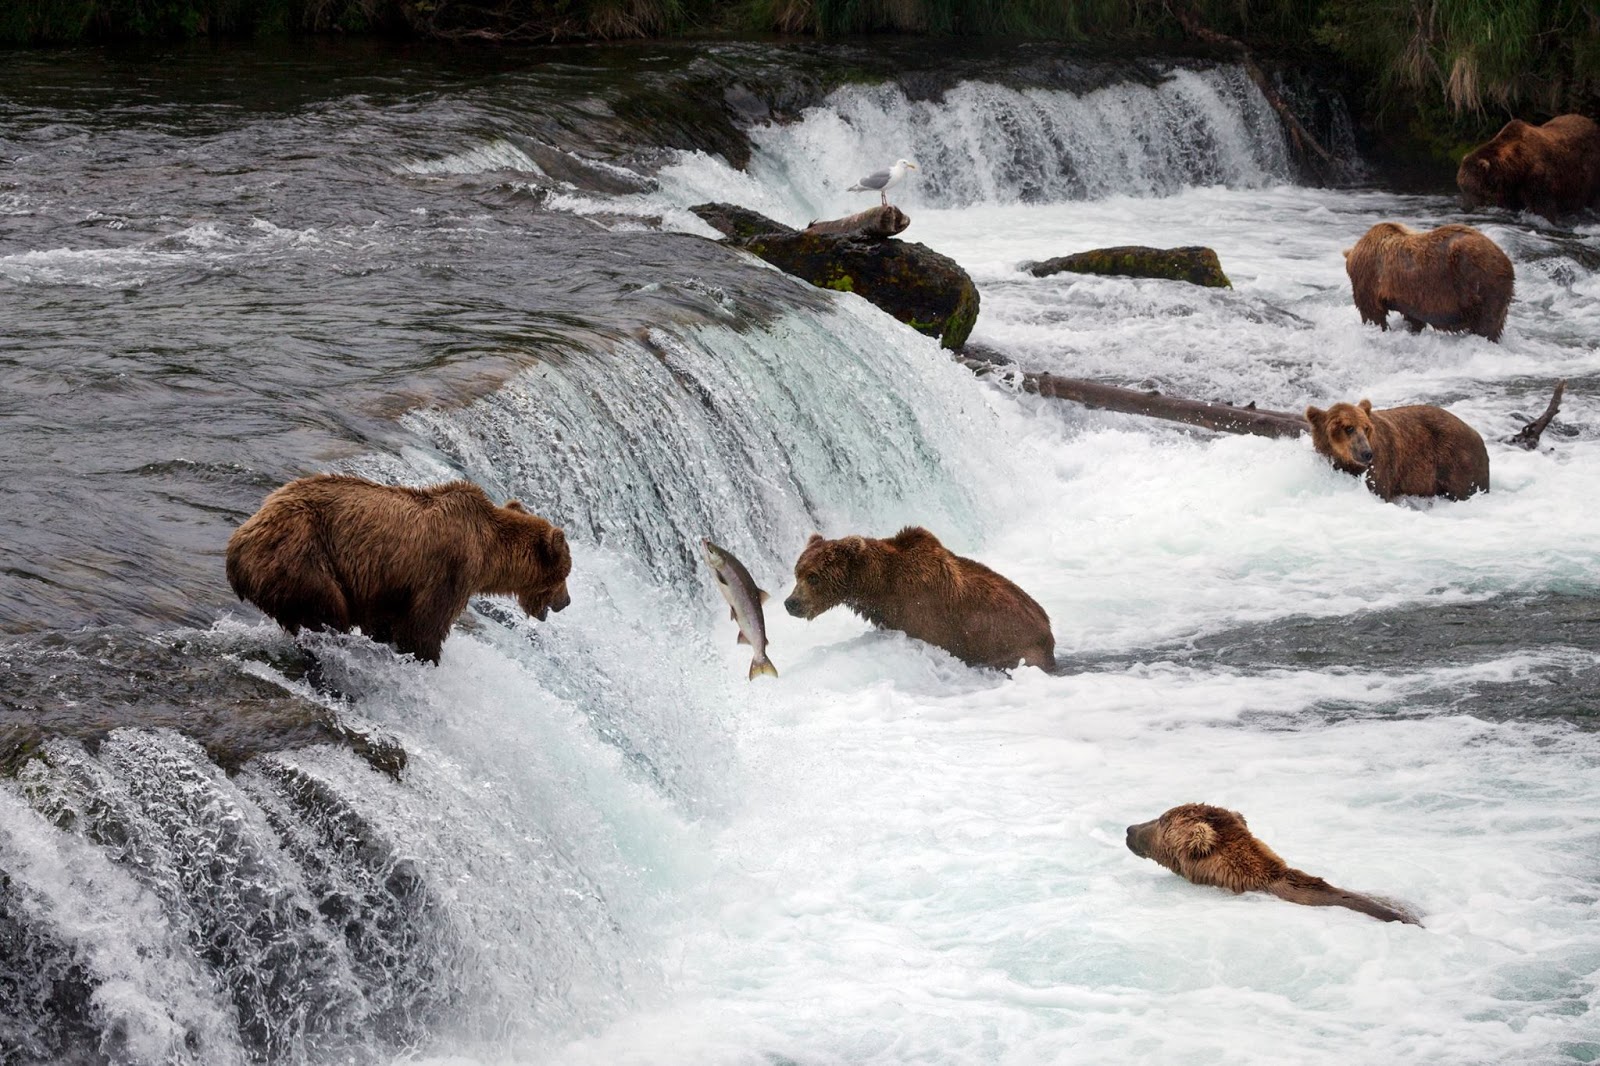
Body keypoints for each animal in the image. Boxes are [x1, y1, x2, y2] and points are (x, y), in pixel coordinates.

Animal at [226, 474, 571, 664]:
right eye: (565, 573)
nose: (566, 601)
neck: (487, 550)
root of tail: (237, 542)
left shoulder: (391, 589)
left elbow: (388, 623)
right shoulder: (450, 570)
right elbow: (424, 628)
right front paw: (426, 657)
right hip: (300, 558)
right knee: (327, 611)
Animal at [782, 526, 1055, 671]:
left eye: (813, 577)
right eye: (797, 573)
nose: (790, 603)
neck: (880, 587)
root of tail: (1049, 630)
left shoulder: (924, 615)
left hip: (1015, 648)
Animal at [1305, 399, 1489, 503]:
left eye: (1366, 428)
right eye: (1348, 428)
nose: (1366, 453)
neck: (1346, 461)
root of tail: (1476, 433)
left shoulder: (1380, 465)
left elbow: (1378, 489)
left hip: (1457, 462)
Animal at [1343, 222, 1513, 342]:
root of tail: (1506, 260)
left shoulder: (1369, 278)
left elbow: (1372, 313)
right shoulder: (1409, 298)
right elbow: (1413, 319)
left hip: (1481, 280)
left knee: (1486, 323)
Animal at [1457, 114, 1600, 220]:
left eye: (1470, 187)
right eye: (1461, 186)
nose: (1464, 207)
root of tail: (1594, 124)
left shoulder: (1537, 177)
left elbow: (1542, 207)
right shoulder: (1510, 189)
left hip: (1588, 172)